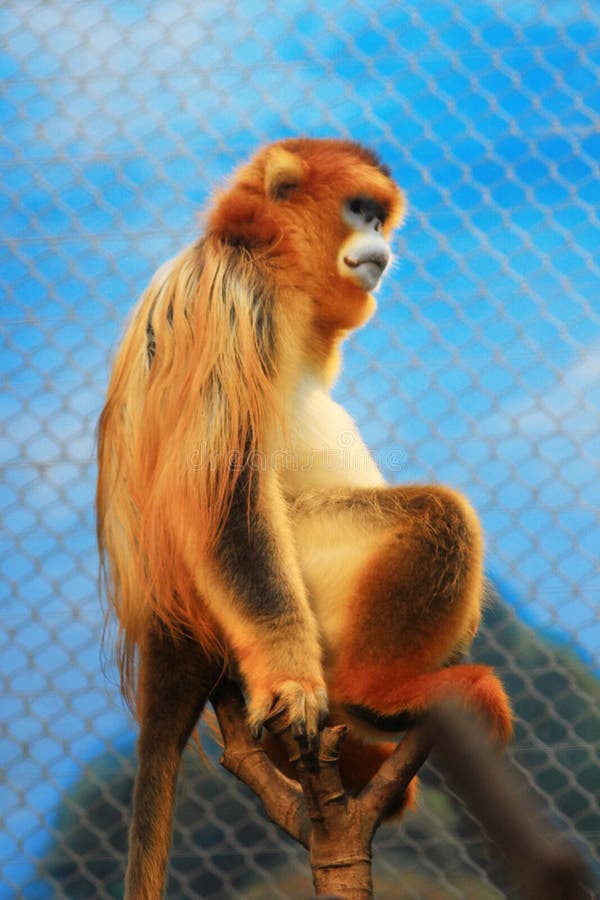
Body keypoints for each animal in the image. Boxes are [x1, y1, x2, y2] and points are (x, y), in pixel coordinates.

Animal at [96, 138, 512, 898]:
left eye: (379, 216)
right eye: (359, 210)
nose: (380, 243)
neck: (250, 249)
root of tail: (168, 630)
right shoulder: (241, 300)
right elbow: (228, 494)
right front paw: (294, 684)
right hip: (288, 572)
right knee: (437, 514)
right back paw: (376, 696)